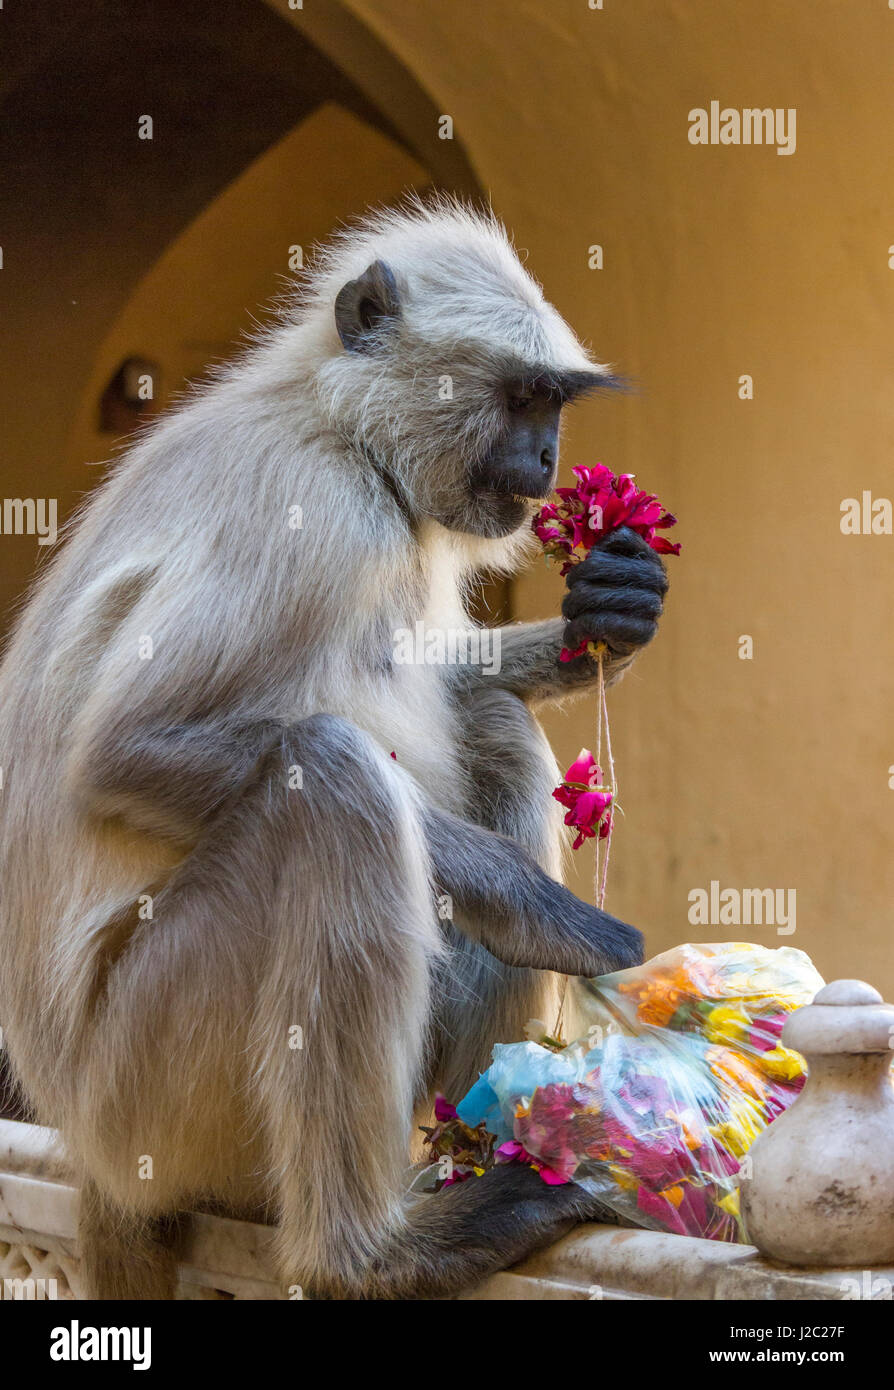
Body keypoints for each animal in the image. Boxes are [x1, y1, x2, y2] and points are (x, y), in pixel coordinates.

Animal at [0, 198, 669, 1300]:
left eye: (552, 406)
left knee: (490, 722)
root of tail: (92, 1151)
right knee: (333, 781)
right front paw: (538, 911)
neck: (335, 421)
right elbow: (128, 752)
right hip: (147, 1089)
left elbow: (452, 683)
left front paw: (607, 617)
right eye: (525, 399)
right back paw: (374, 1255)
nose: (545, 461)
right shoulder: (313, 508)